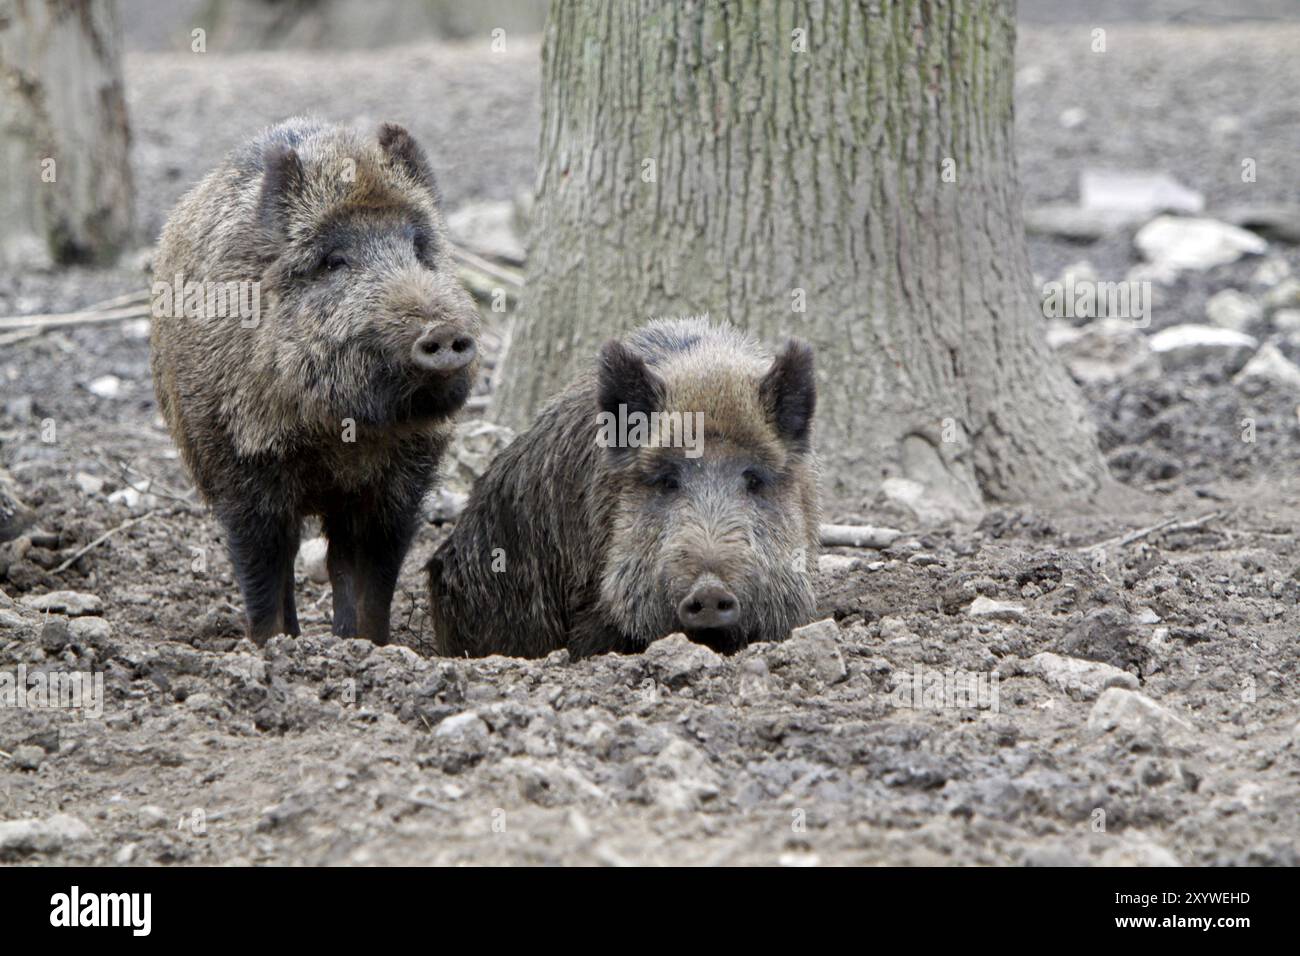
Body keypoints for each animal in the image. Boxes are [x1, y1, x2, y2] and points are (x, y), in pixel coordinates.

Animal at [150, 118, 480, 645]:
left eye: (419, 248)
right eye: (333, 261)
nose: (443, 331)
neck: (342, 433)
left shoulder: (399, 483)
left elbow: (368, 575)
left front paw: (368, 644)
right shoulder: (242, 467)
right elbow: (264, 567)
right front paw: (272, 645)